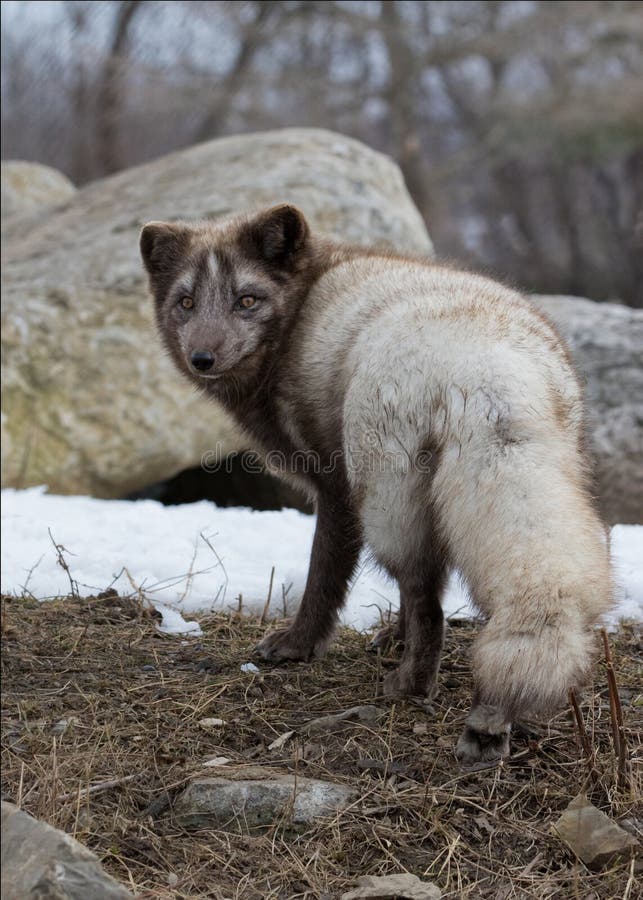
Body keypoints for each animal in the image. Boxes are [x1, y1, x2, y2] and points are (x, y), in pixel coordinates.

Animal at [140, 203, 613, 763]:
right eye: (186, 302)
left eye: (247, 300)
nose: (202, 359)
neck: (299, 313)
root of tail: (488, 368)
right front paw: (391, 638)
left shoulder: (334, 488)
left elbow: (324, 575)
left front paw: (298, 646)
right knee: (432, 584)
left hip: (383, 500)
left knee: (425, 596)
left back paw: (411, 686)